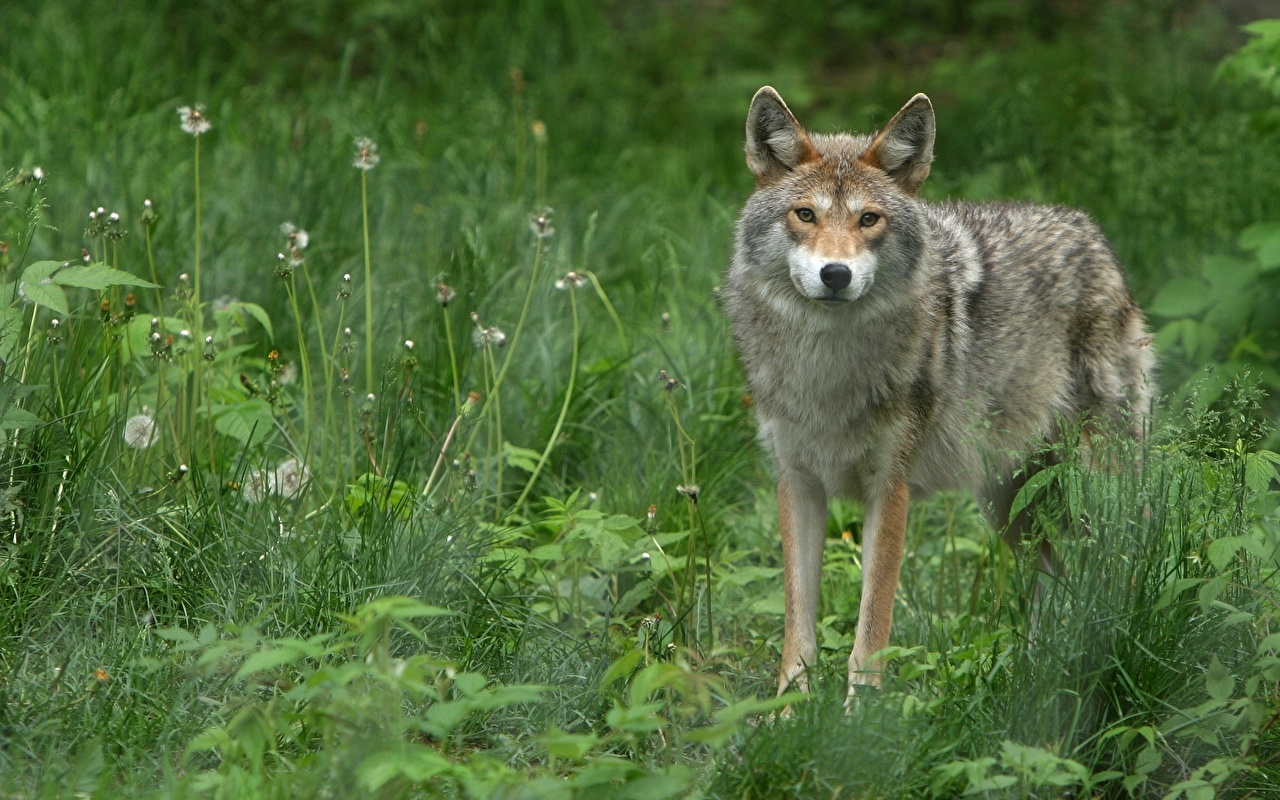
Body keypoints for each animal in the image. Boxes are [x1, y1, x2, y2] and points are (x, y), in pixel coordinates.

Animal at [724, 87, 1154, 702]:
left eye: (869, 219)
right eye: (805, 214)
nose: (836, 274)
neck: (828, 371)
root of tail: (1093, 233)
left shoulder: (890, 489)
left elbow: (871, 630)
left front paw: (859, 717)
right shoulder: (797, 482)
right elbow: (797, 628)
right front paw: (786, 713)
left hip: (1094, 489)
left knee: (1123, 559)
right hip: (1011, 508)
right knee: (1057, 576)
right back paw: (1040, 677)